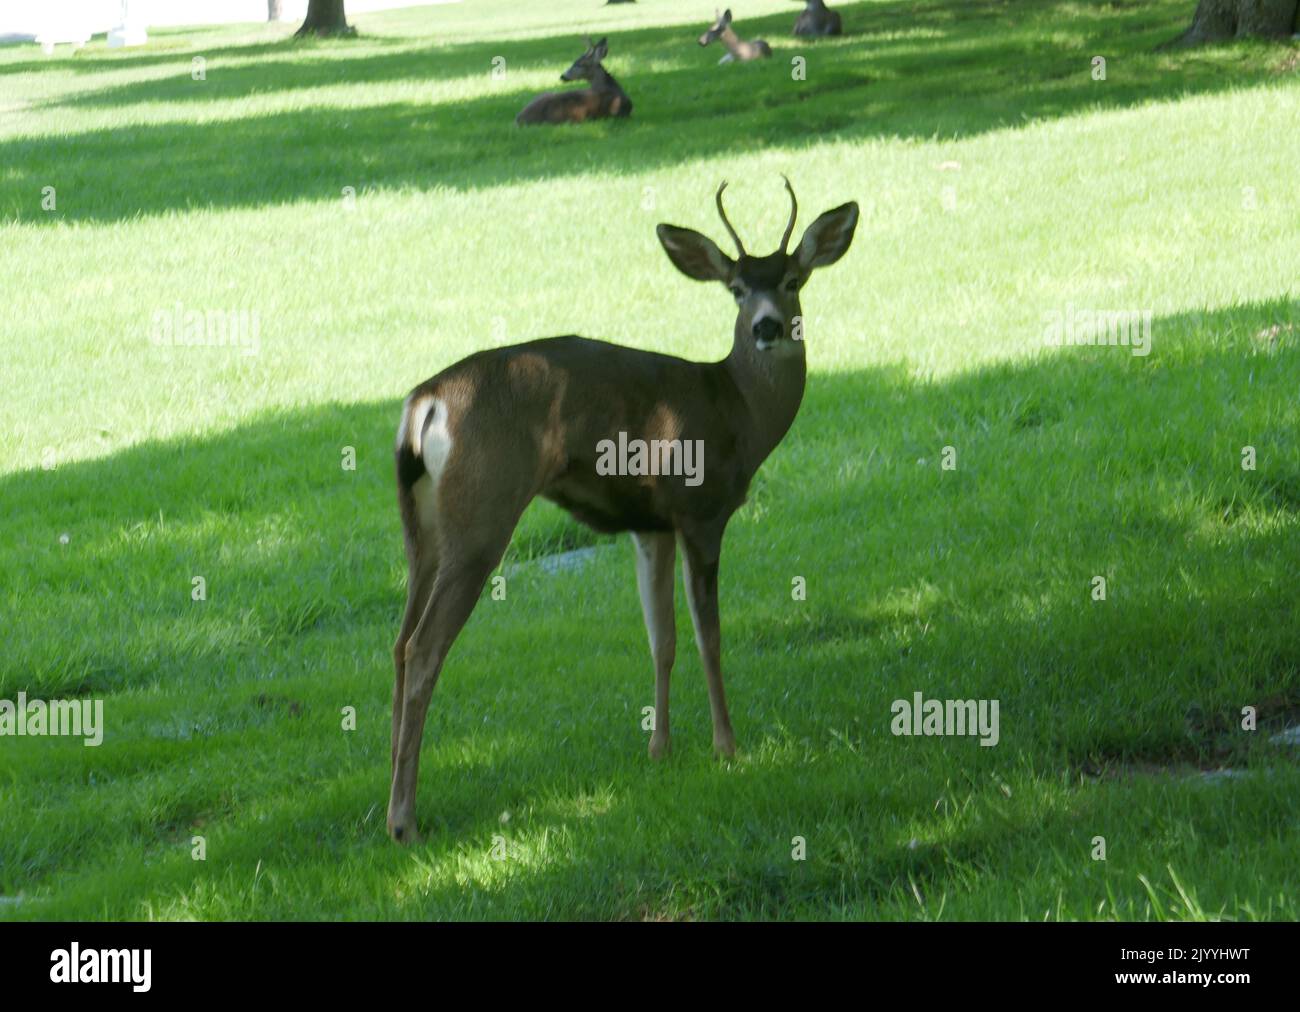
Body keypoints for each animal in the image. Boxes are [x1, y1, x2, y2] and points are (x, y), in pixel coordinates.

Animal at [386, 179, 858, 843]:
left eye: (793, 278)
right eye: (736, 288)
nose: (767, 326)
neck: (737, 411)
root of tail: (424, 403)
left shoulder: (649, 525)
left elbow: (661, 636)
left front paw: (660, 750)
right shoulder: (700, 509)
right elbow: (709, 634)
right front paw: (727, 746)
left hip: (422, 529)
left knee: (399, 643)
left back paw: (386, 807)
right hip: (480, 515)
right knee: (425, 648)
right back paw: (406, 821)